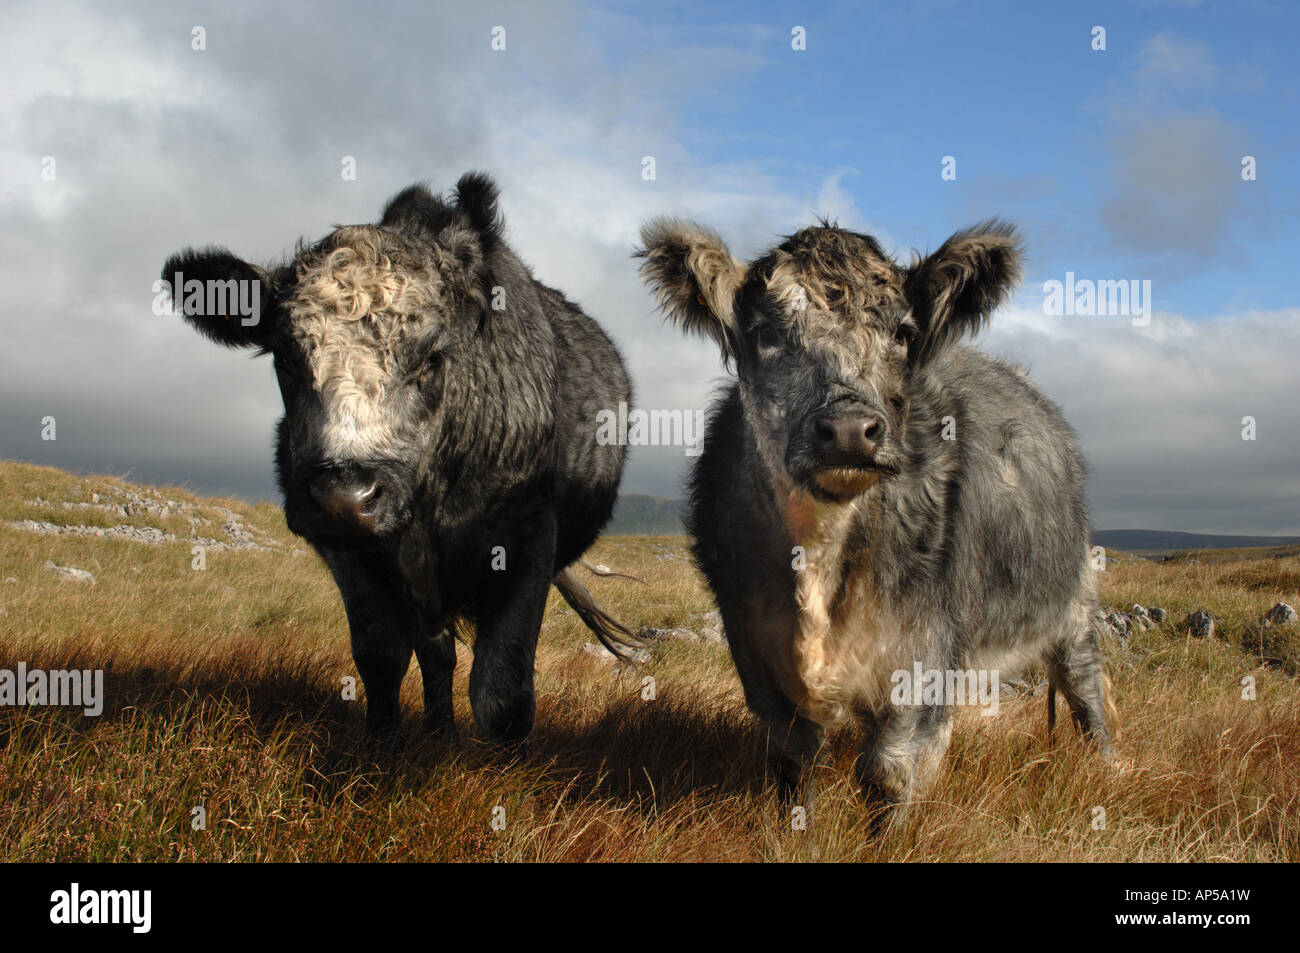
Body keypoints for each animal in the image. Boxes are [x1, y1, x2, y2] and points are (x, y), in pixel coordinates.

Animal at [161, 172, 633, 744]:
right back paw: (437, 730)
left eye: (432, 356)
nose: (345, 497)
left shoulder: (530, 535)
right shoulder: (346, 550)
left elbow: (502, 692)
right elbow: (381, 654)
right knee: (436, 654)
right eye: (286, 357)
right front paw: (381, 744)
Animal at [638, 217, 1114, 823]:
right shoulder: (757, 660)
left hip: (1075, 604)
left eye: (904, 333)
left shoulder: (923, 657)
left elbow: (888, 773)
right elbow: (794, 768)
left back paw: (1109, 765)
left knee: (1085, 688)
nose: (848, 430)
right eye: (766, 333)